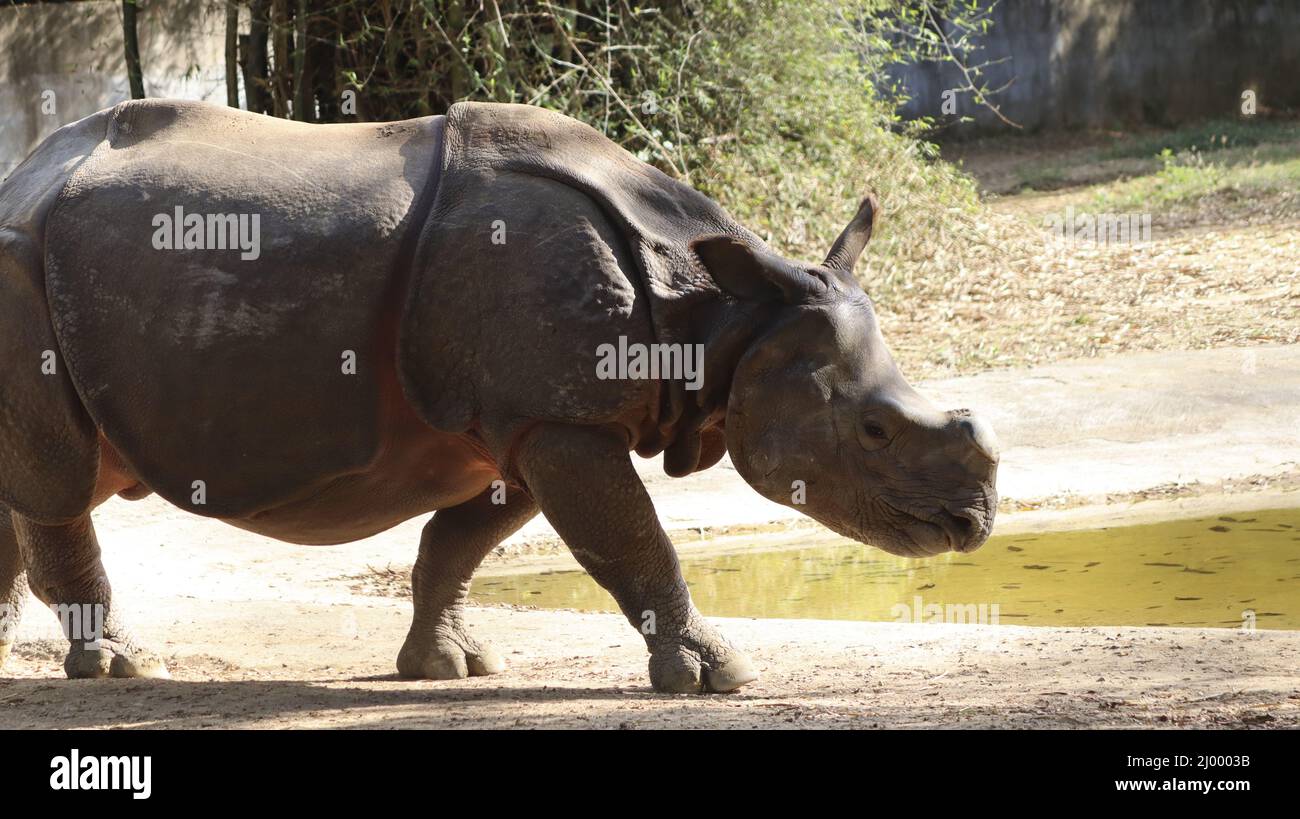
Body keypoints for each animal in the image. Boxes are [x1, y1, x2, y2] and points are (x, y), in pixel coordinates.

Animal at [0, 100, 998, 693]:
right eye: (873, 429)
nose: (974, 521)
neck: (722, 315)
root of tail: (24, 173)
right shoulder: (556, 416)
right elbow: (634, 537)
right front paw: (719, 675)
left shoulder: (522, 422)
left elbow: (459, 544)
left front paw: (447, 665)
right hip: (21, 259)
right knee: (58, 478)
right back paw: (119, 667)